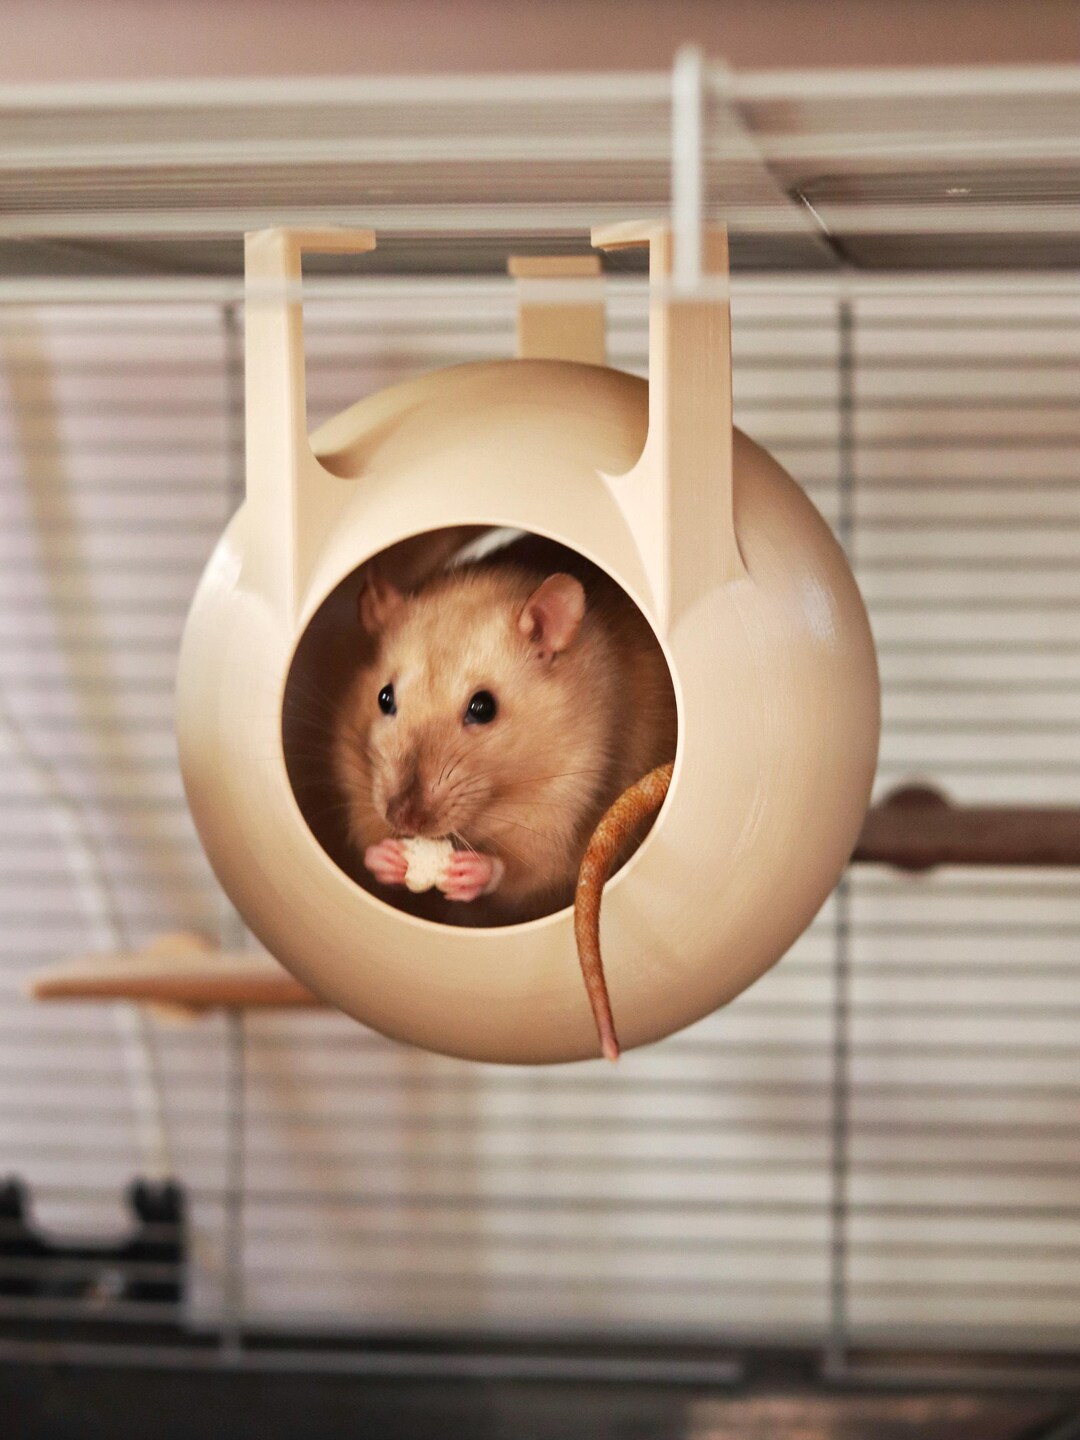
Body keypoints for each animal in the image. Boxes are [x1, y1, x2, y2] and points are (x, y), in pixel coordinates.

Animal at [332, 535, 677, 929]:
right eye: (384, 697)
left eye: (483, 708)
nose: (403, 819)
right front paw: (383, 854)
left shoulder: (572, 793)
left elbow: (536, 867)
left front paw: (480, 869)